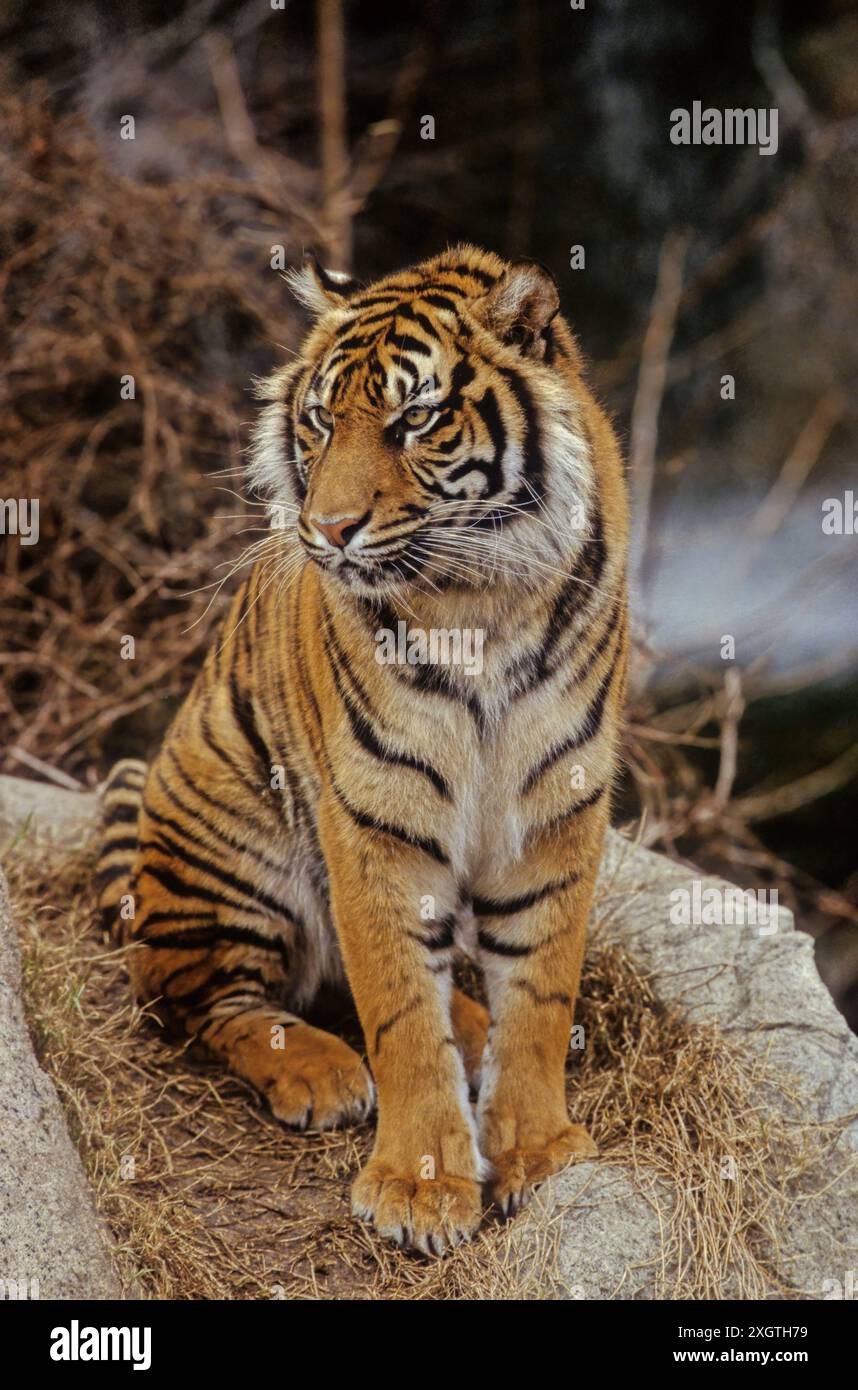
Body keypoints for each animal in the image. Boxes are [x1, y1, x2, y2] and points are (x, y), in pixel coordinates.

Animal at [97, 243, 629, 1256]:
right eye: (317, 420)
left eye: (414, 418)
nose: (327, 531)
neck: (478, 603)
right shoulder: (374, 815)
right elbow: (398, 1009)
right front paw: (421, 1186)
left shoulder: (559, 801)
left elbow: (541, 992)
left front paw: (537, 1150)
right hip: (231, 829)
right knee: (197, 995)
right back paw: (322, 1070)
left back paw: (472, 1030)